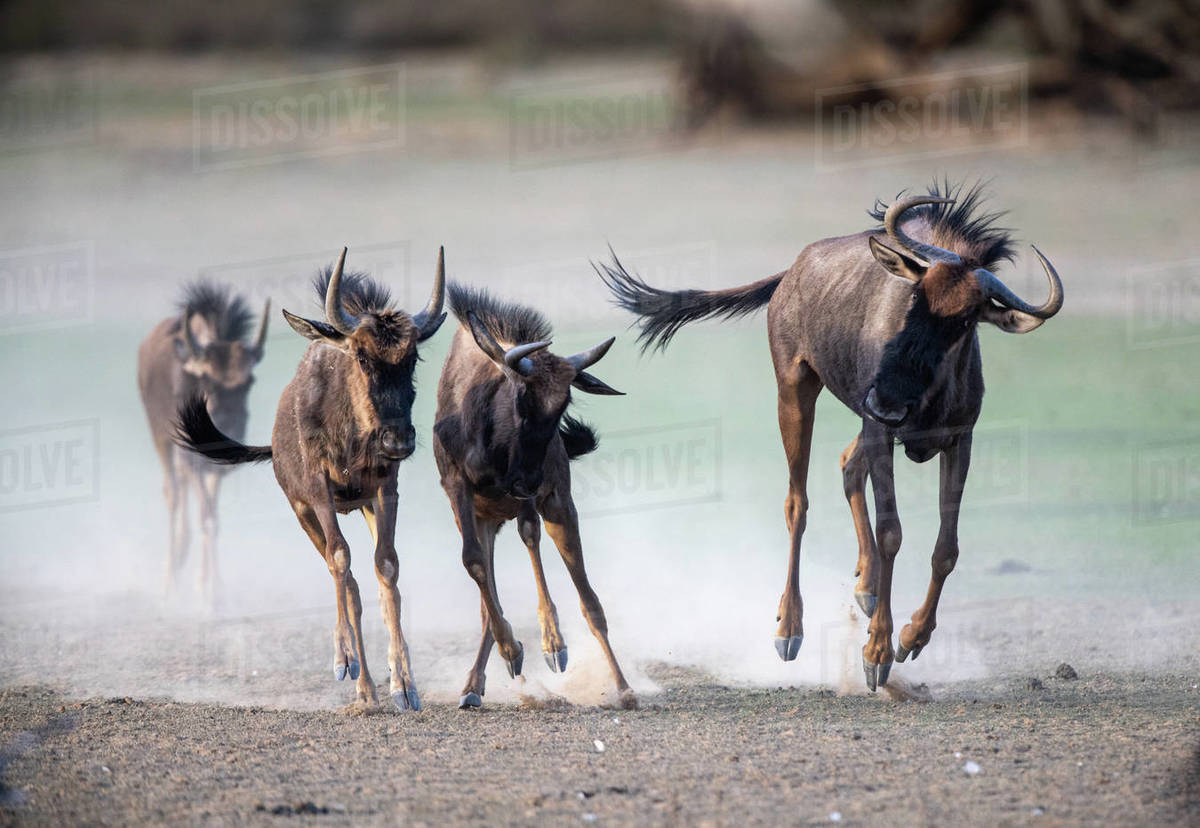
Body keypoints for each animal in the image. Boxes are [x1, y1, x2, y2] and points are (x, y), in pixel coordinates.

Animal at [138, 281, 269, 605]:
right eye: (207, 382)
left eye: (249, 383)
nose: (230, 426)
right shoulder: (192, 458)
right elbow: (205, 514)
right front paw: (208, 594)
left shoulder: (213, 468)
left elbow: (213, 517)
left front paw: (212, 587)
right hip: (160, 437)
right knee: (172, 492)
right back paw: (169, 580)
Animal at [175, 247, 447, 710]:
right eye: (360, 356)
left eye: (413, 358)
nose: (398, 439)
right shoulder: (319, 494)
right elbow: (340, 560)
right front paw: (346, 663)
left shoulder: (384, 491)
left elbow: (387, 566)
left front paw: (405, 684)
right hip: (303, 511)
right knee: (346, 580)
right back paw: (360, 681)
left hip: (361, 506)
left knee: (365, 580)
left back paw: (378, 682)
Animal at [432, 283, 637, 710]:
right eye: (521, 398)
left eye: (565, 404)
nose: (528, 479)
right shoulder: (459, 492)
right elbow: (474, 564)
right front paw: (512, 650)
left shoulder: (529, 497)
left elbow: (530, 535)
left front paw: (552, 642)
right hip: (488, 519)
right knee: (487, 599)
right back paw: (479, 681)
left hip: (559, 506)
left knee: (590, 602)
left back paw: (622, 685)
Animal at [598, 181, 1063, 690]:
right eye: (915, 299)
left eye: (963, 321)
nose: (887, 398)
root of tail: (793, 272)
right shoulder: (880, 432)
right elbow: (891, 532)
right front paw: (877, 652)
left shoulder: (958, 440)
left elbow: (947, 547)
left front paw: (912, 637)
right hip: (796, 393)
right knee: (797, 502)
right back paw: (790, 628)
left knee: (845, 466)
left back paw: (865, 587)